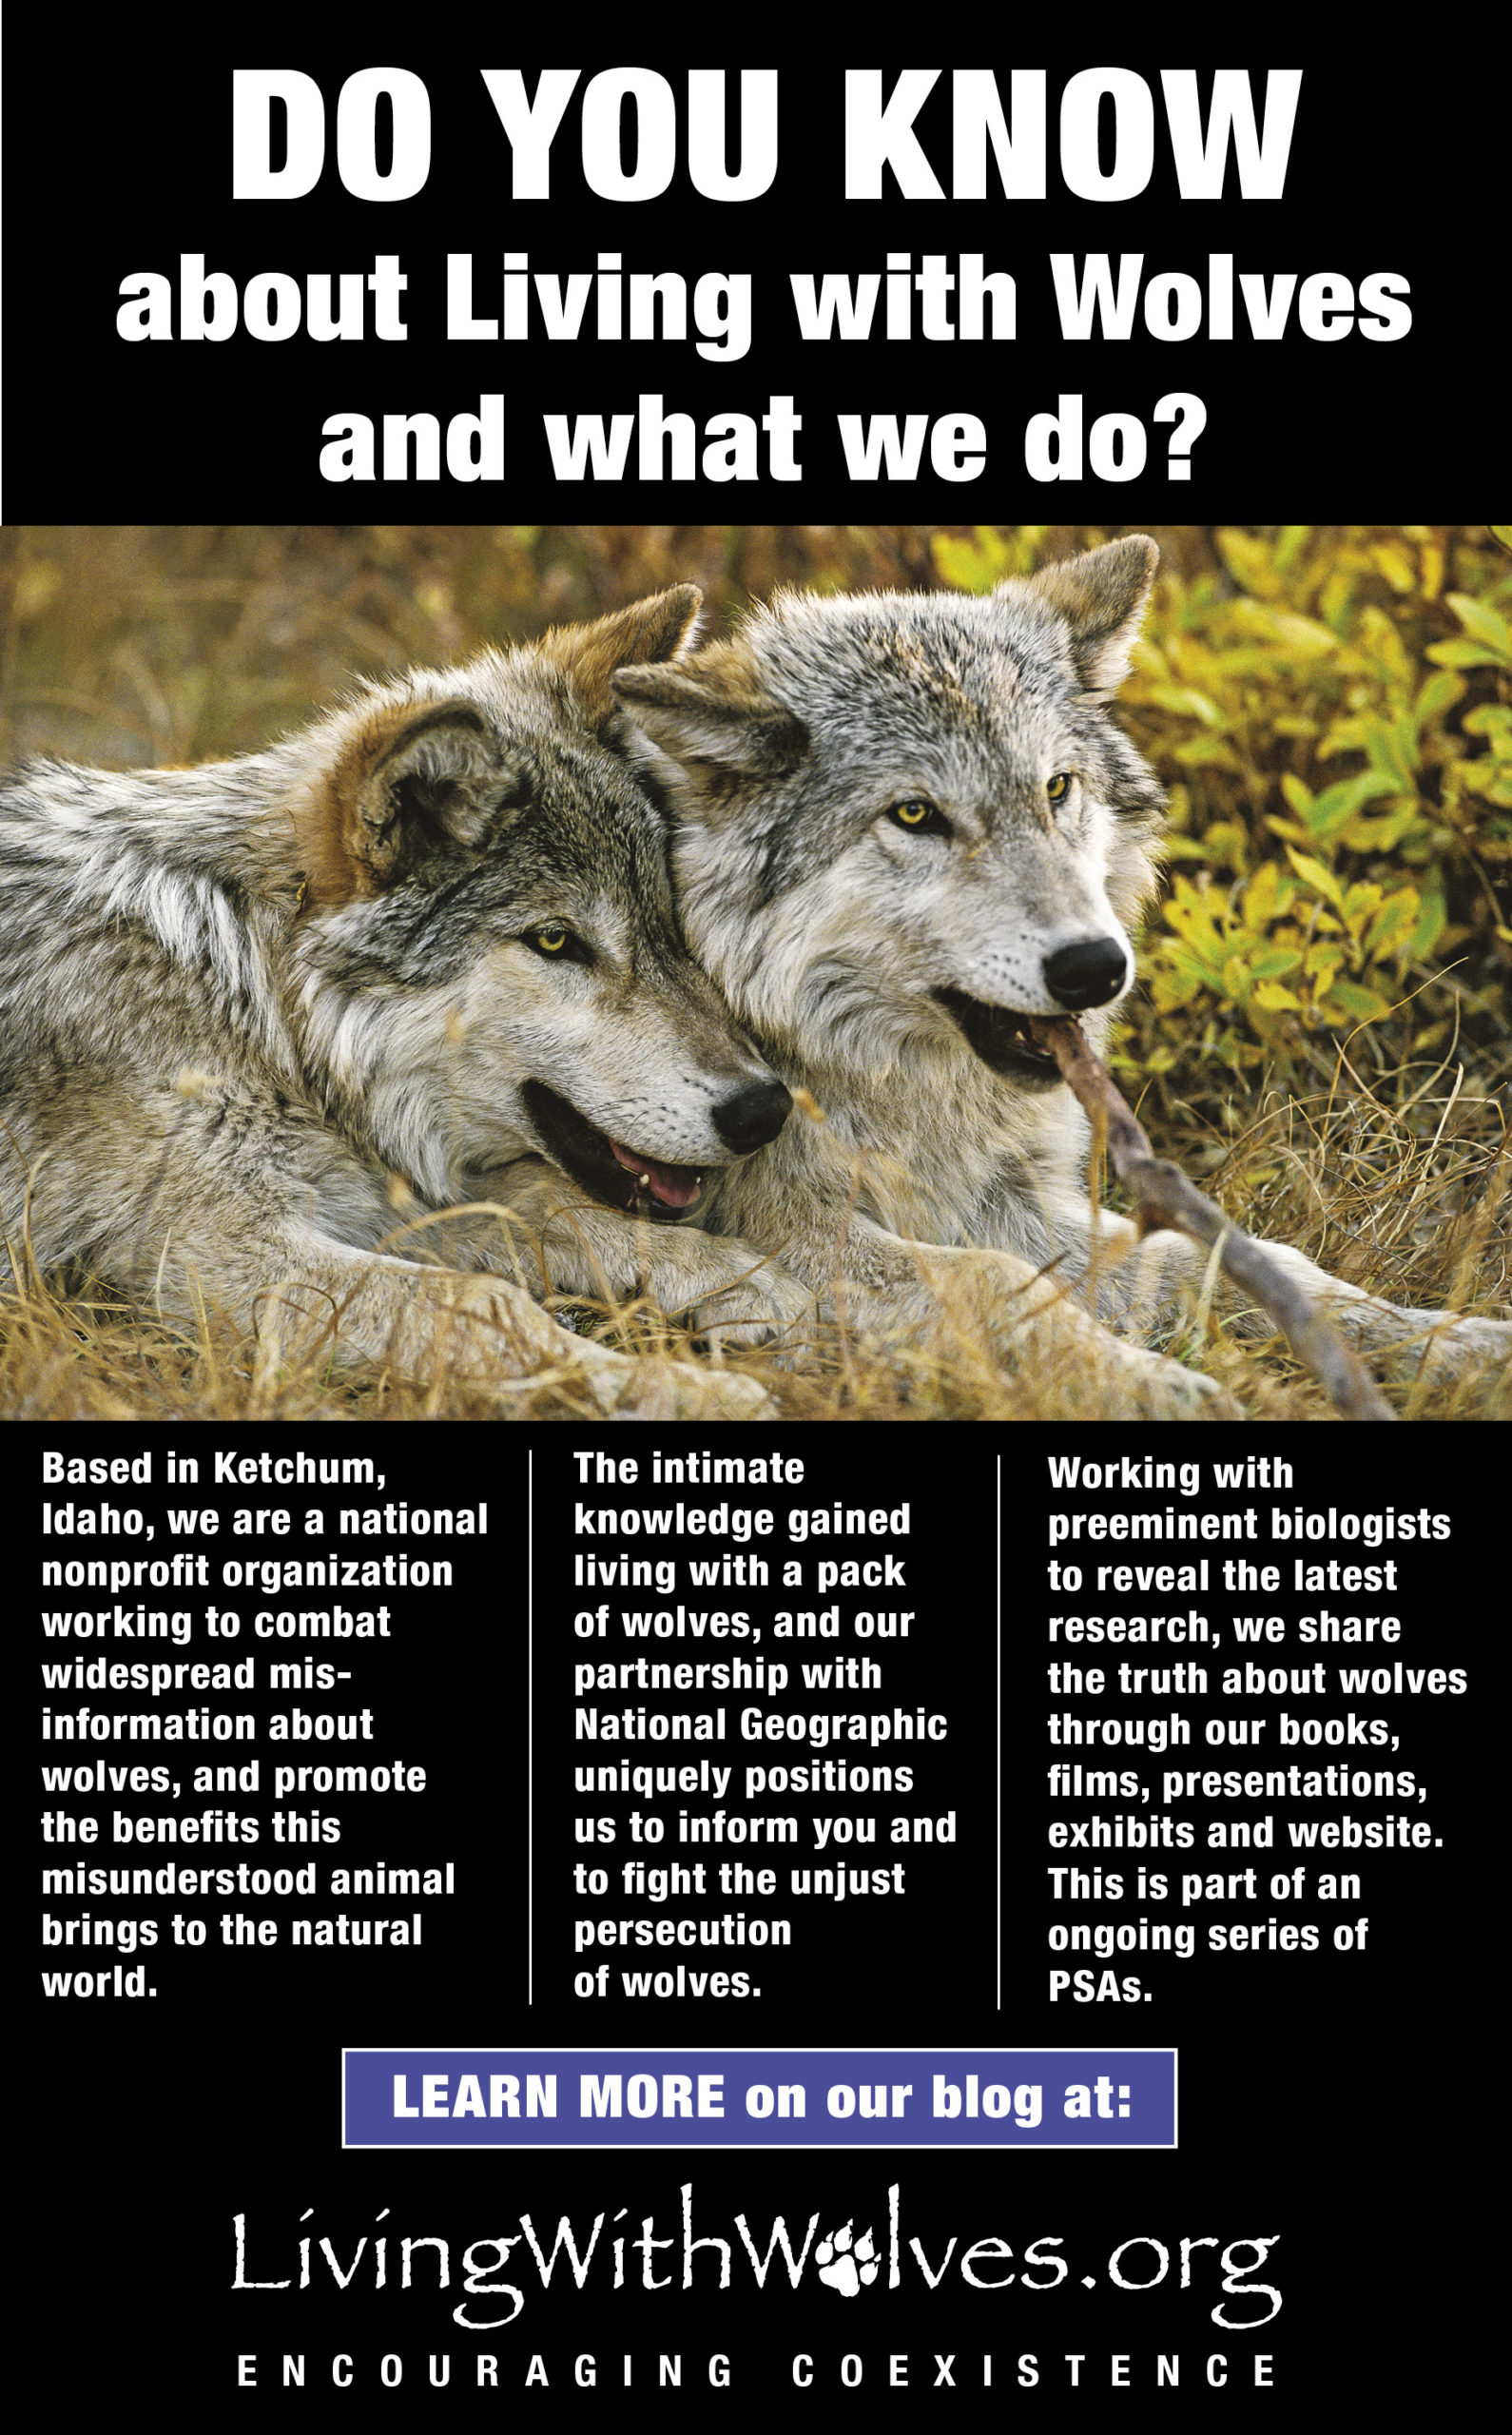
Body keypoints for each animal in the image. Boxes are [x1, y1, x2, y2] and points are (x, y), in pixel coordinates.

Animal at [0, 587, 804, 1418]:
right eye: (555, 941)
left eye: (667, 924)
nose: (765, 1109)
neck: (262, 1004)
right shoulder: (213, 1255)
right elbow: (490, 1301)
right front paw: (686, 1387)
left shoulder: (369, 1196)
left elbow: (545, 1198)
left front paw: (741, 1279)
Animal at [613, 540, 1509, 1411]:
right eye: (915, 814)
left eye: (1056, 788)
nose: (1094, 968)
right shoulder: (784, 1231)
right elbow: (996, 1282)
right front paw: (1154, 1384)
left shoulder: (1011, 1200)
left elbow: (1233, 1264)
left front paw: (1450, 1345)